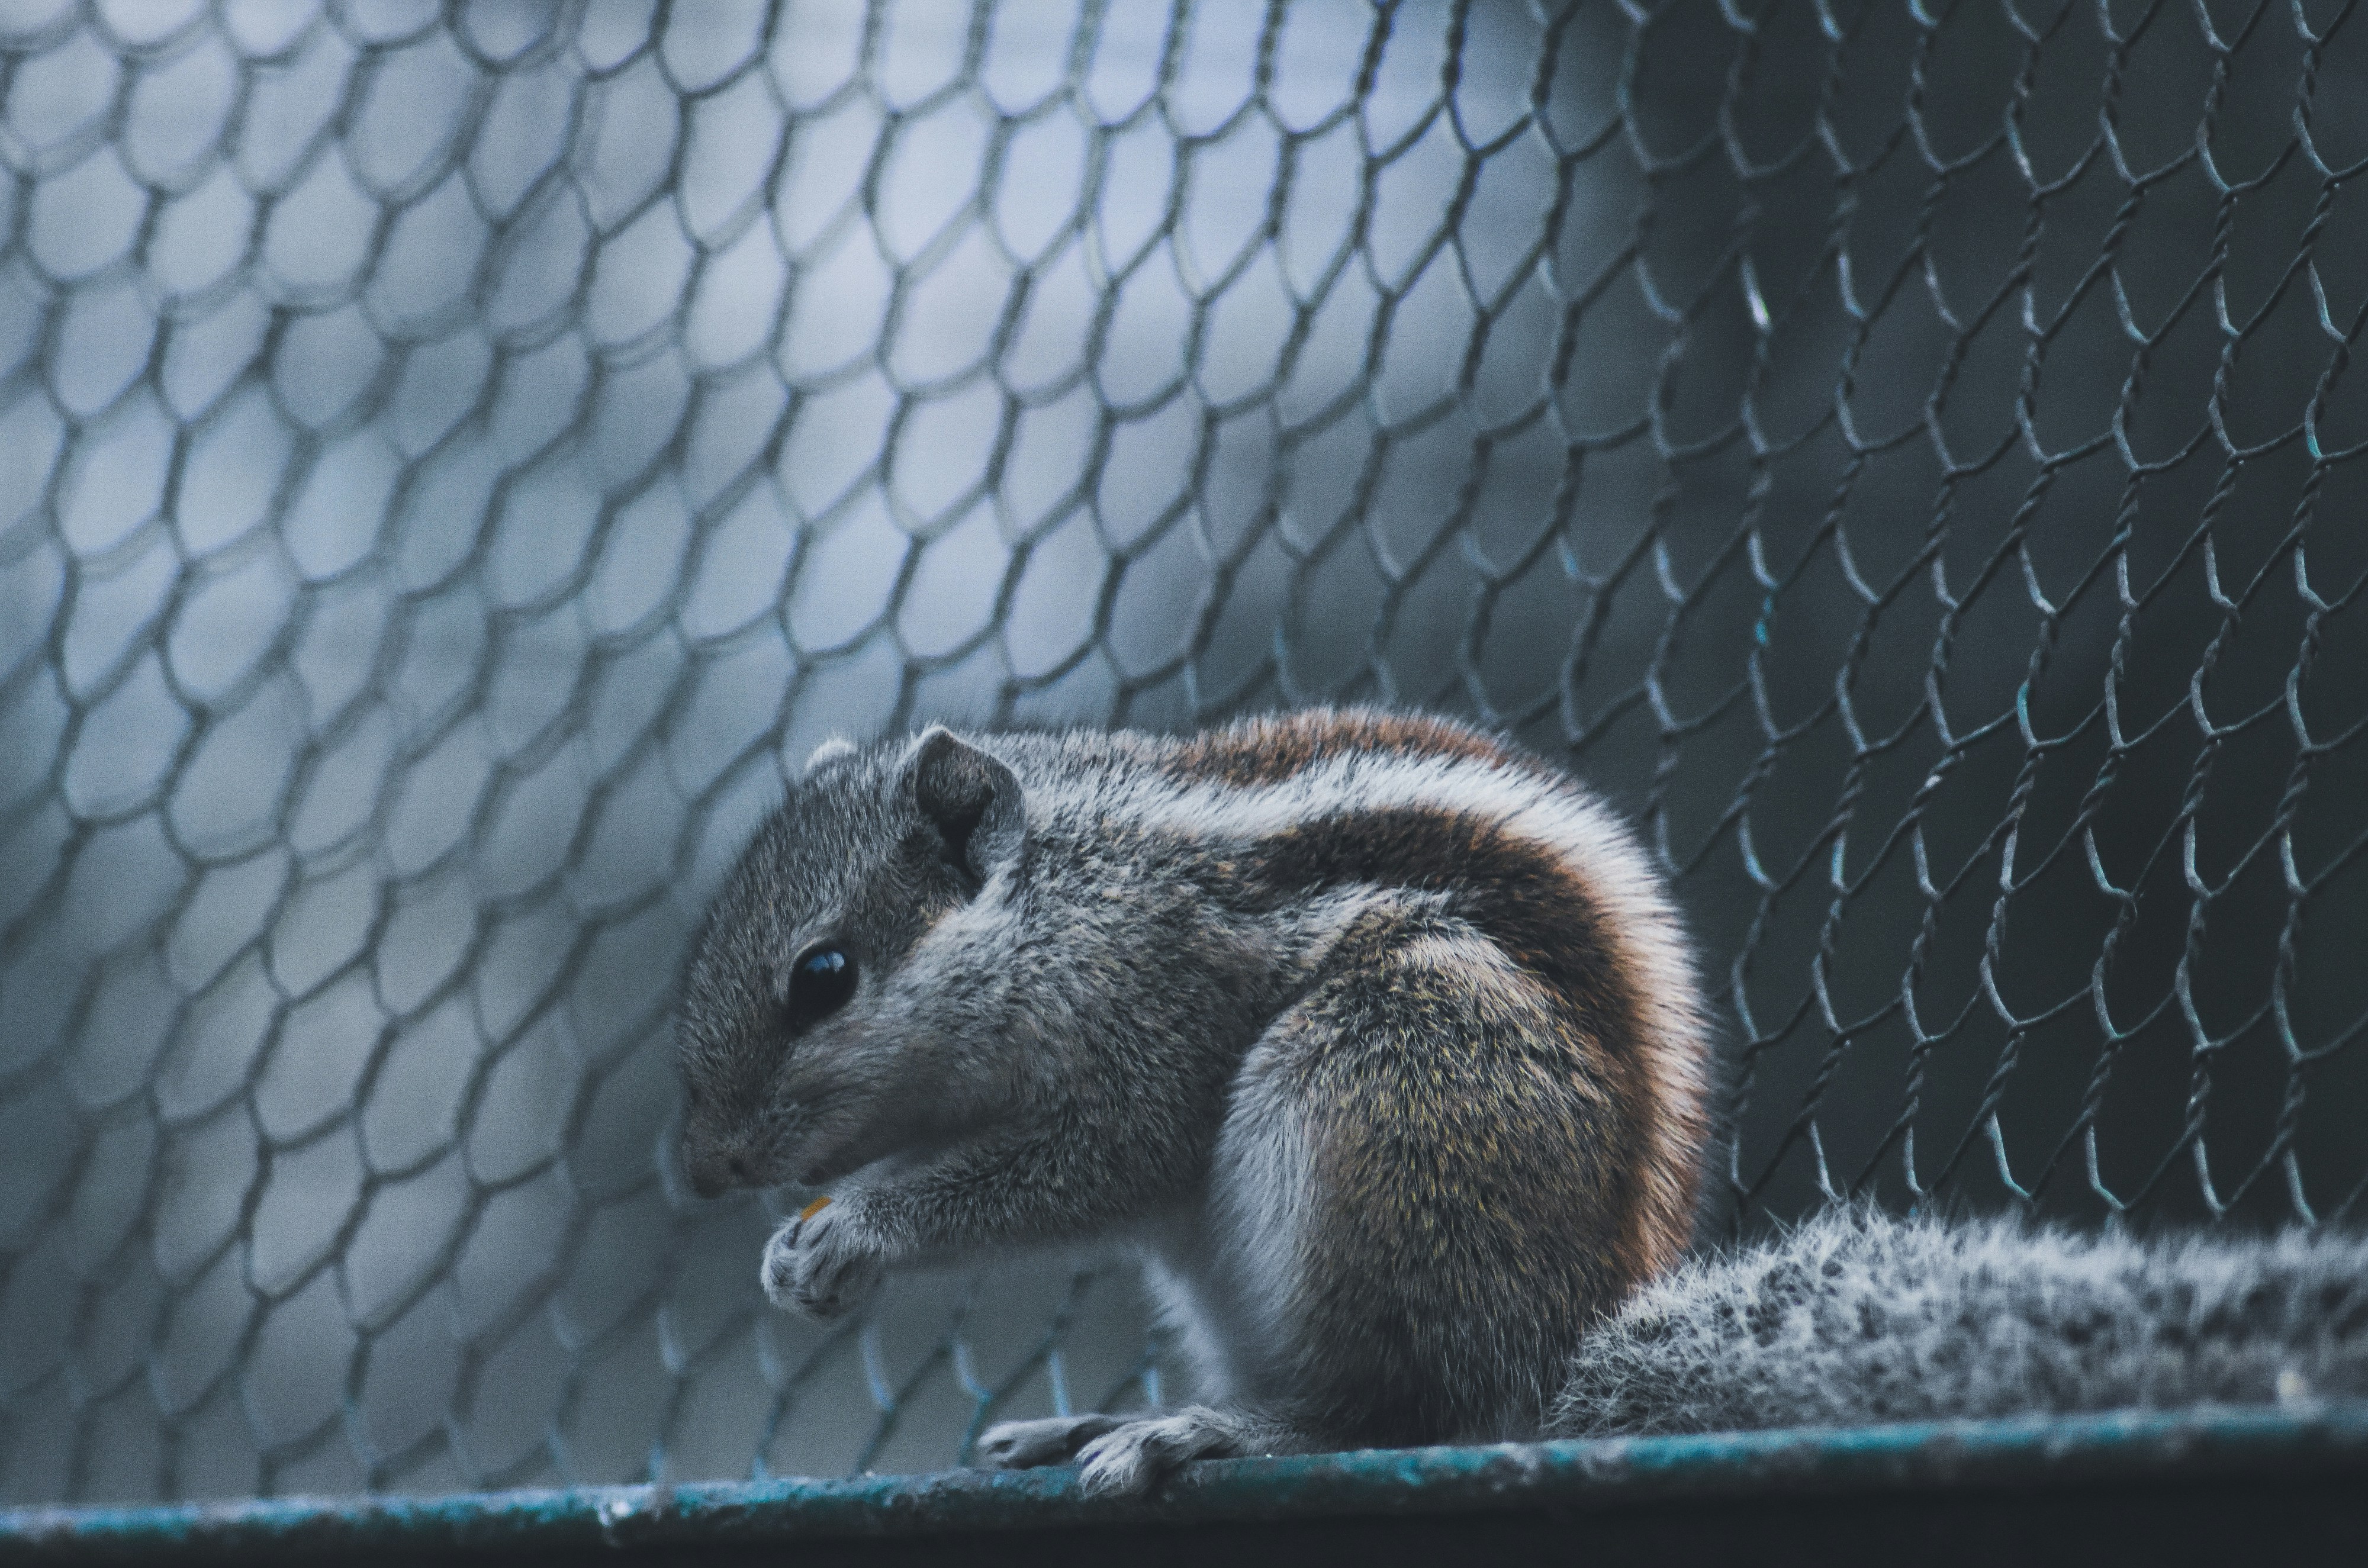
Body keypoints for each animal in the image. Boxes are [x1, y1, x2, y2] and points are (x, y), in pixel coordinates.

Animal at [674, 708, 1711, 1492]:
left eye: (824, 976)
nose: (704, 1168)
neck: (1071, 895)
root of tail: (1576, 1325)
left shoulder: (1157, 1029)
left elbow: (1099, 1162)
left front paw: (854, 1229)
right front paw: (786, 1257)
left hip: (1393, 1092)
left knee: (1408, 1411)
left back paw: (1218, 1432)